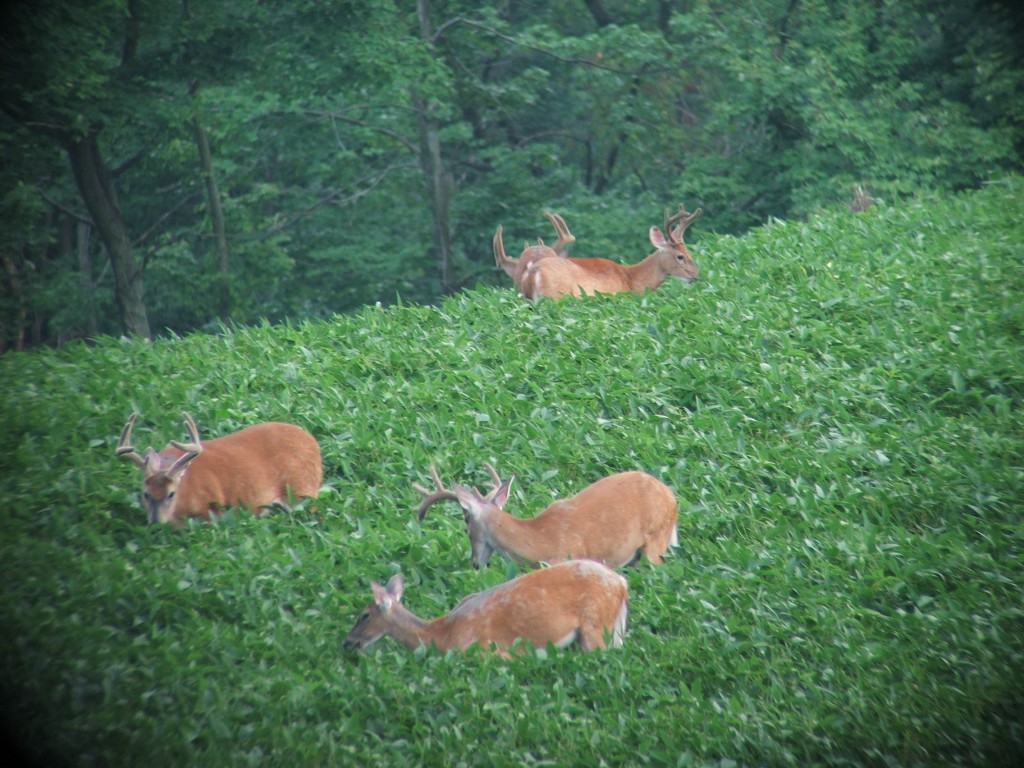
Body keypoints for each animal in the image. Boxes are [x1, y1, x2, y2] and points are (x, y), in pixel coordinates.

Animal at [343, 559, 629, 656]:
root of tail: (621, 584)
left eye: (364, 616)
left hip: (596, 627)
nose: (347, 643)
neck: (442, 634)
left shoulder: (488, 652)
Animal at [494, 204, 703, 300]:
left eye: (689, 251)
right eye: (680, 256)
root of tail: (533, 272)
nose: (696, 276)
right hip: (555, 296)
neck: (631, 279)